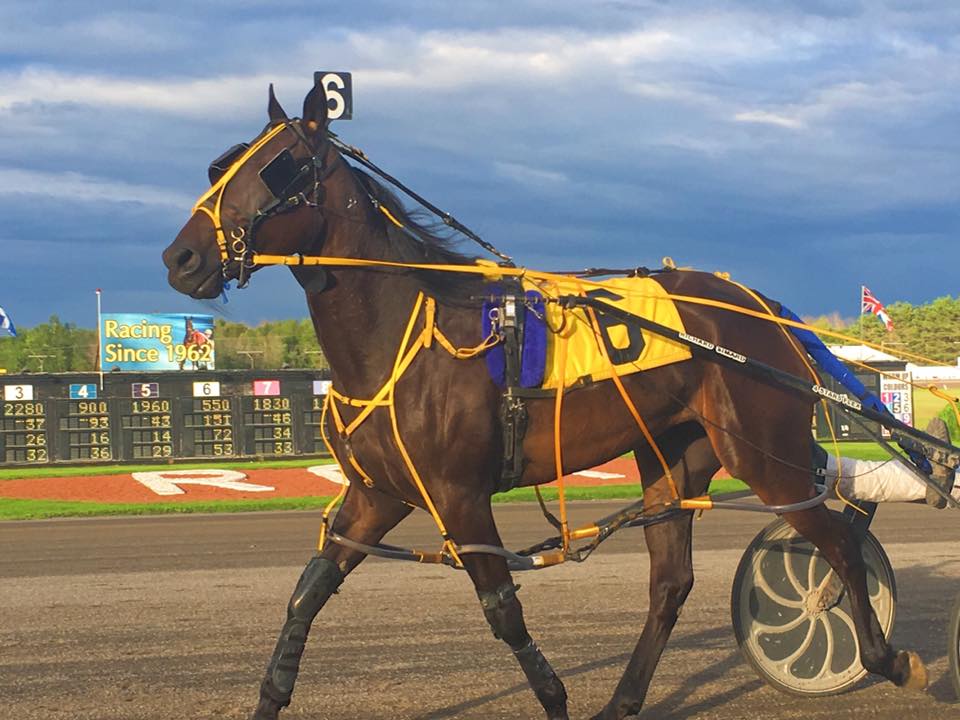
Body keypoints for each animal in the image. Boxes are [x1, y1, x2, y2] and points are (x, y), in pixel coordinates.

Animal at [161, 82, 926, 720]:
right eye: (218, 166)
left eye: (278, 166)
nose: (181, 258)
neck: (402, 329)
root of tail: (760, 305)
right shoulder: (378, 494)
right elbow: (308, 593)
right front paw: (270, 696)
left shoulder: (459, 496)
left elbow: (502, 612)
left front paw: (555, 698)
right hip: (673, 458)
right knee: (671, 582)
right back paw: (622, 701)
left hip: (768, 456)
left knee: (838, 543)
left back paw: (886, 658)